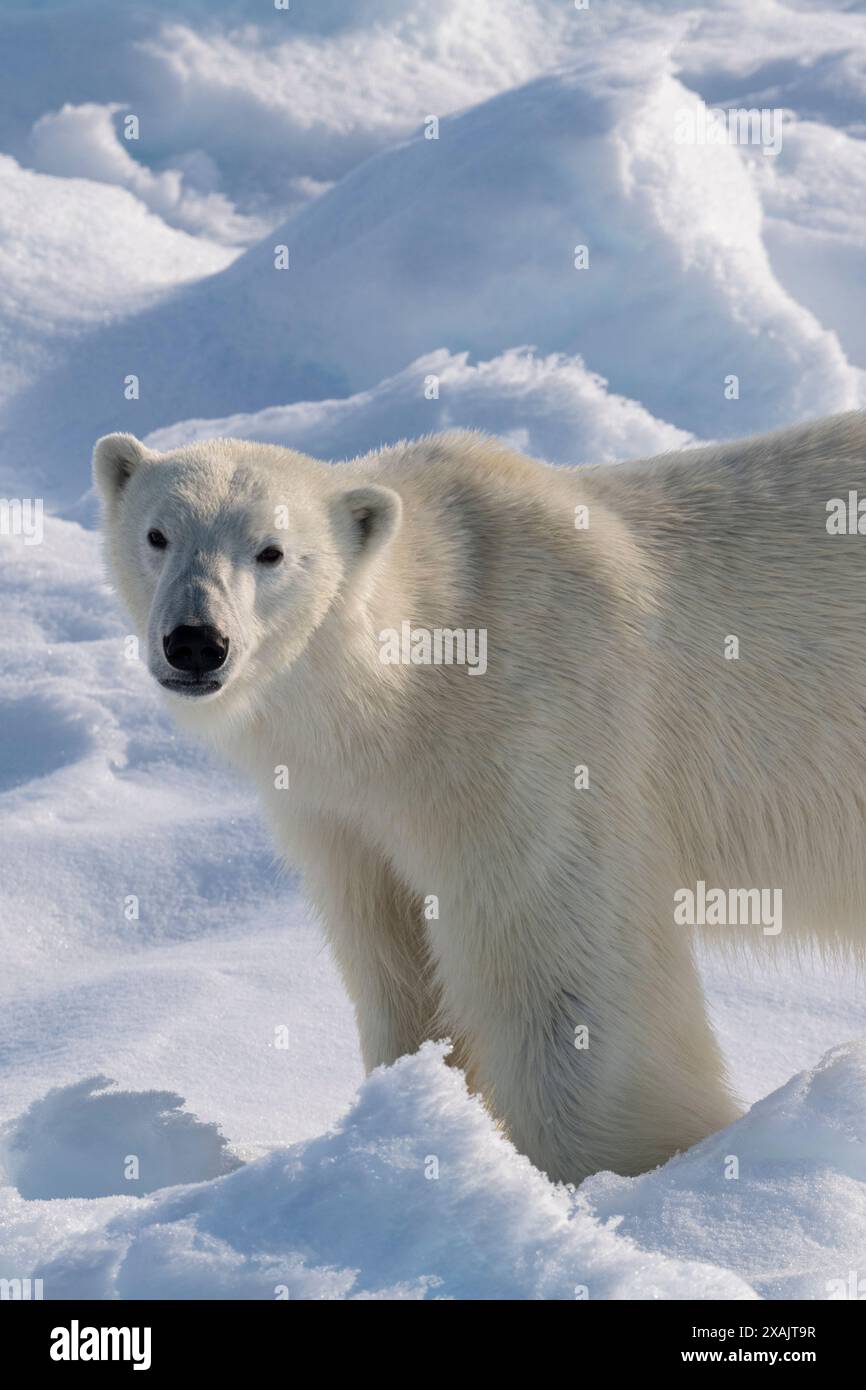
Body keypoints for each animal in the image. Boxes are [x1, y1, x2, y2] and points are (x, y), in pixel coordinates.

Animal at [93, 413, 866, 1185]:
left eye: (271, 551)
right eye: (158, 534)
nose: (197, 642)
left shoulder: (534, 741)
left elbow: (558, 968)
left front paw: (606, 1170)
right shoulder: (347, 816)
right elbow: (393, 957)